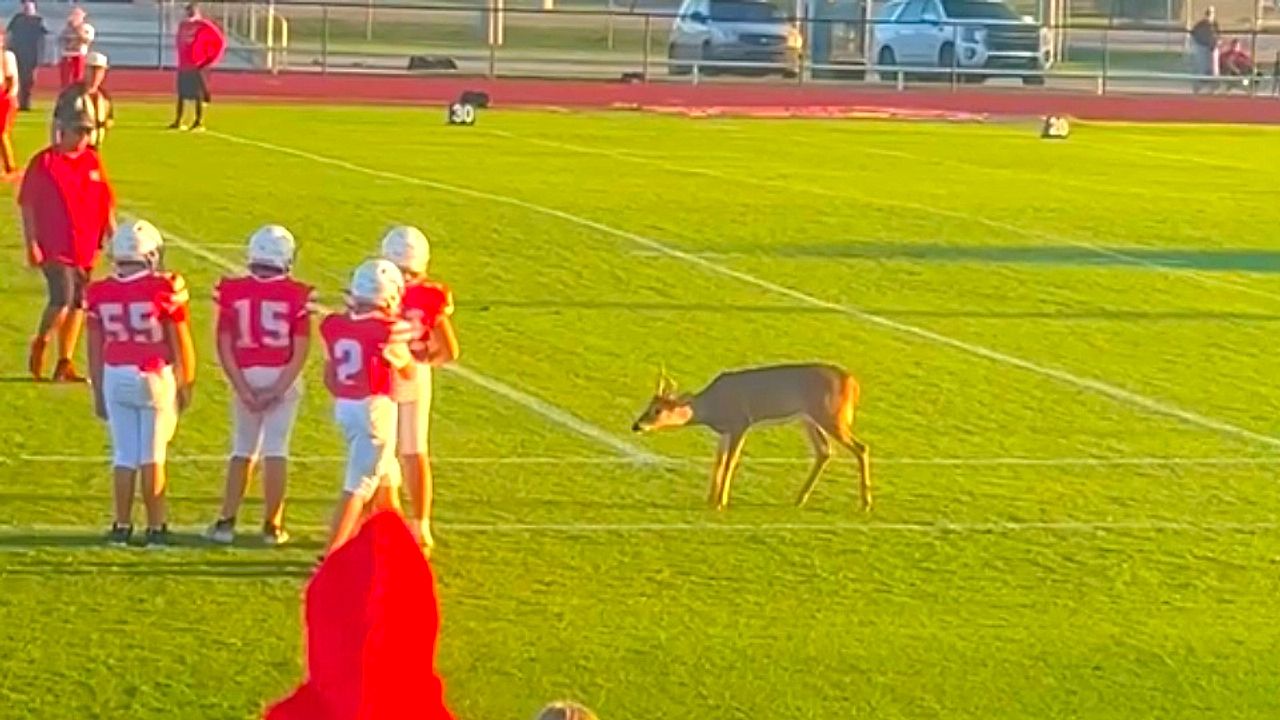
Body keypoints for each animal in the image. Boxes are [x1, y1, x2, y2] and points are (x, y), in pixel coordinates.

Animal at [631, 363, 871, 512]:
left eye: (658, 410)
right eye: (648, 405)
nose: (636, 425)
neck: (712, 408)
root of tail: (854, 384)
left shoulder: (741, 422)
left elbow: (731, 462)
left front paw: (721, 502)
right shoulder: (725, 431)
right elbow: (718, 461)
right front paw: (710, 498)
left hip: (831, 415)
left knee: (861, 447)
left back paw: (866, 503)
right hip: (809, 418)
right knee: (824, 451)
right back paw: (799, 499)